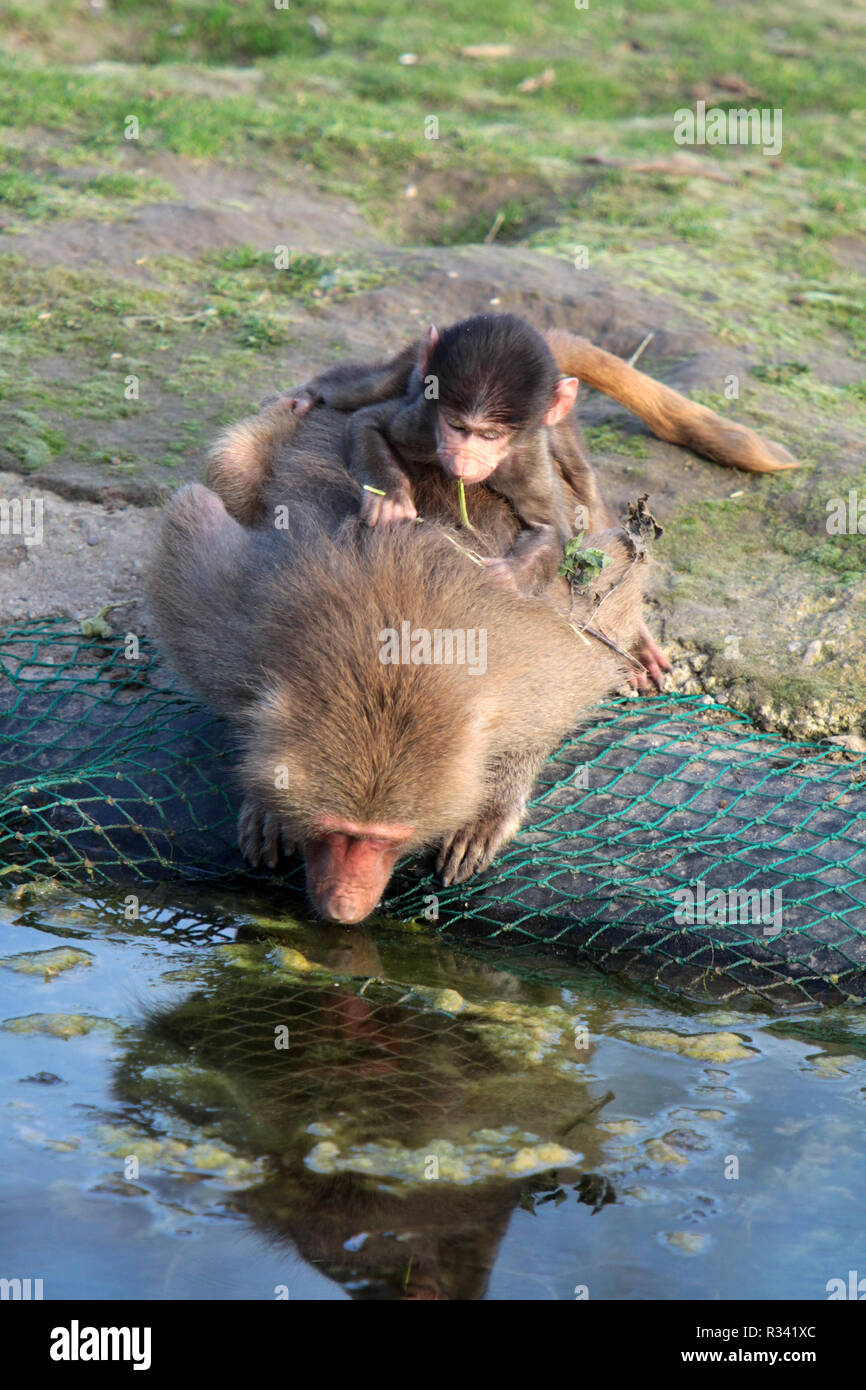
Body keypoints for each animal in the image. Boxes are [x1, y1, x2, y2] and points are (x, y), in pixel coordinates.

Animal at [151, 404, 646, 923]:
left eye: (382, 840)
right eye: (335, 832)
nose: (343, 907)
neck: (386, 654)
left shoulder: (536, 650)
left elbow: (607, 605)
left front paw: (492, 805)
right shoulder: (227, 633)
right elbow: (190, 517)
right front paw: (267, 802)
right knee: (231, 464)